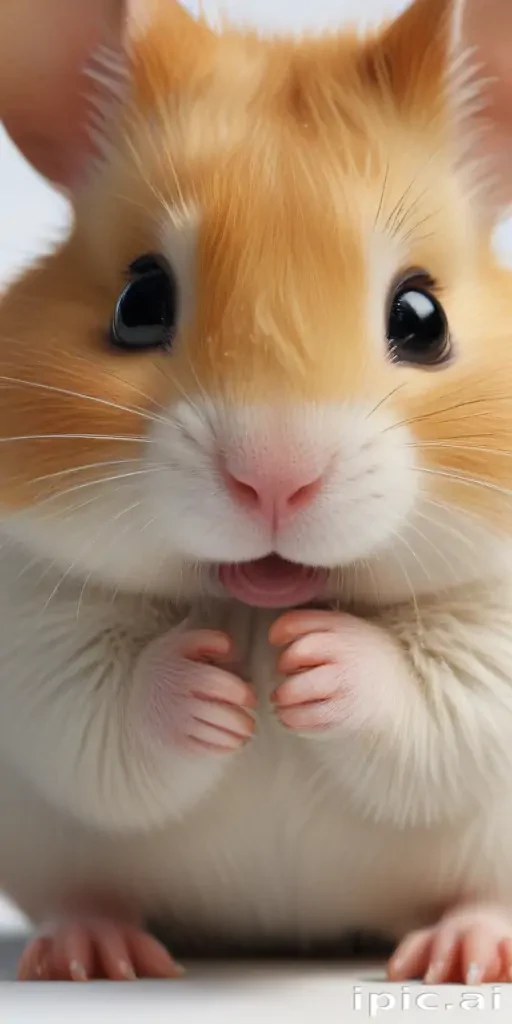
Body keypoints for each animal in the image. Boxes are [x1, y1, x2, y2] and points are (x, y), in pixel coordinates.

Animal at [1, 0, 512, 985]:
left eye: (422, 318)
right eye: (138, 303)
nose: (274, 480)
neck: (256, 599)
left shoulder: (494, 647)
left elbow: (442, 694)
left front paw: (311, 658)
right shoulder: (32, 633)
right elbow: (98, 703)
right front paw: (217, 685)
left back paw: (464, 955)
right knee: (85, 894)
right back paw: (91, 954)